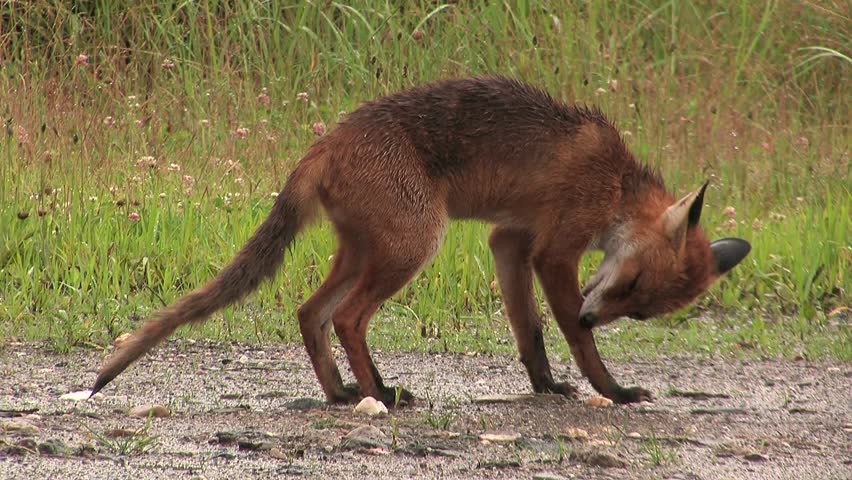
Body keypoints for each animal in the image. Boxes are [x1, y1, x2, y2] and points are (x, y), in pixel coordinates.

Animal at [91, 77, 750, 405]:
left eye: (640, 309)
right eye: (630, 284)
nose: (594, 317)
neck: (614, 180)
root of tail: (325, 141)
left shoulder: (509, 241)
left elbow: (529, 332)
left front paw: (545, 387)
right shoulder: (554, 250)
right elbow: (569, 337)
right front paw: (610, 390)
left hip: (363, 251)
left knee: (310, 312)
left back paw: (344, 393)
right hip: (415, 245)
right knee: (348, 317)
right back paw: (378, 392)